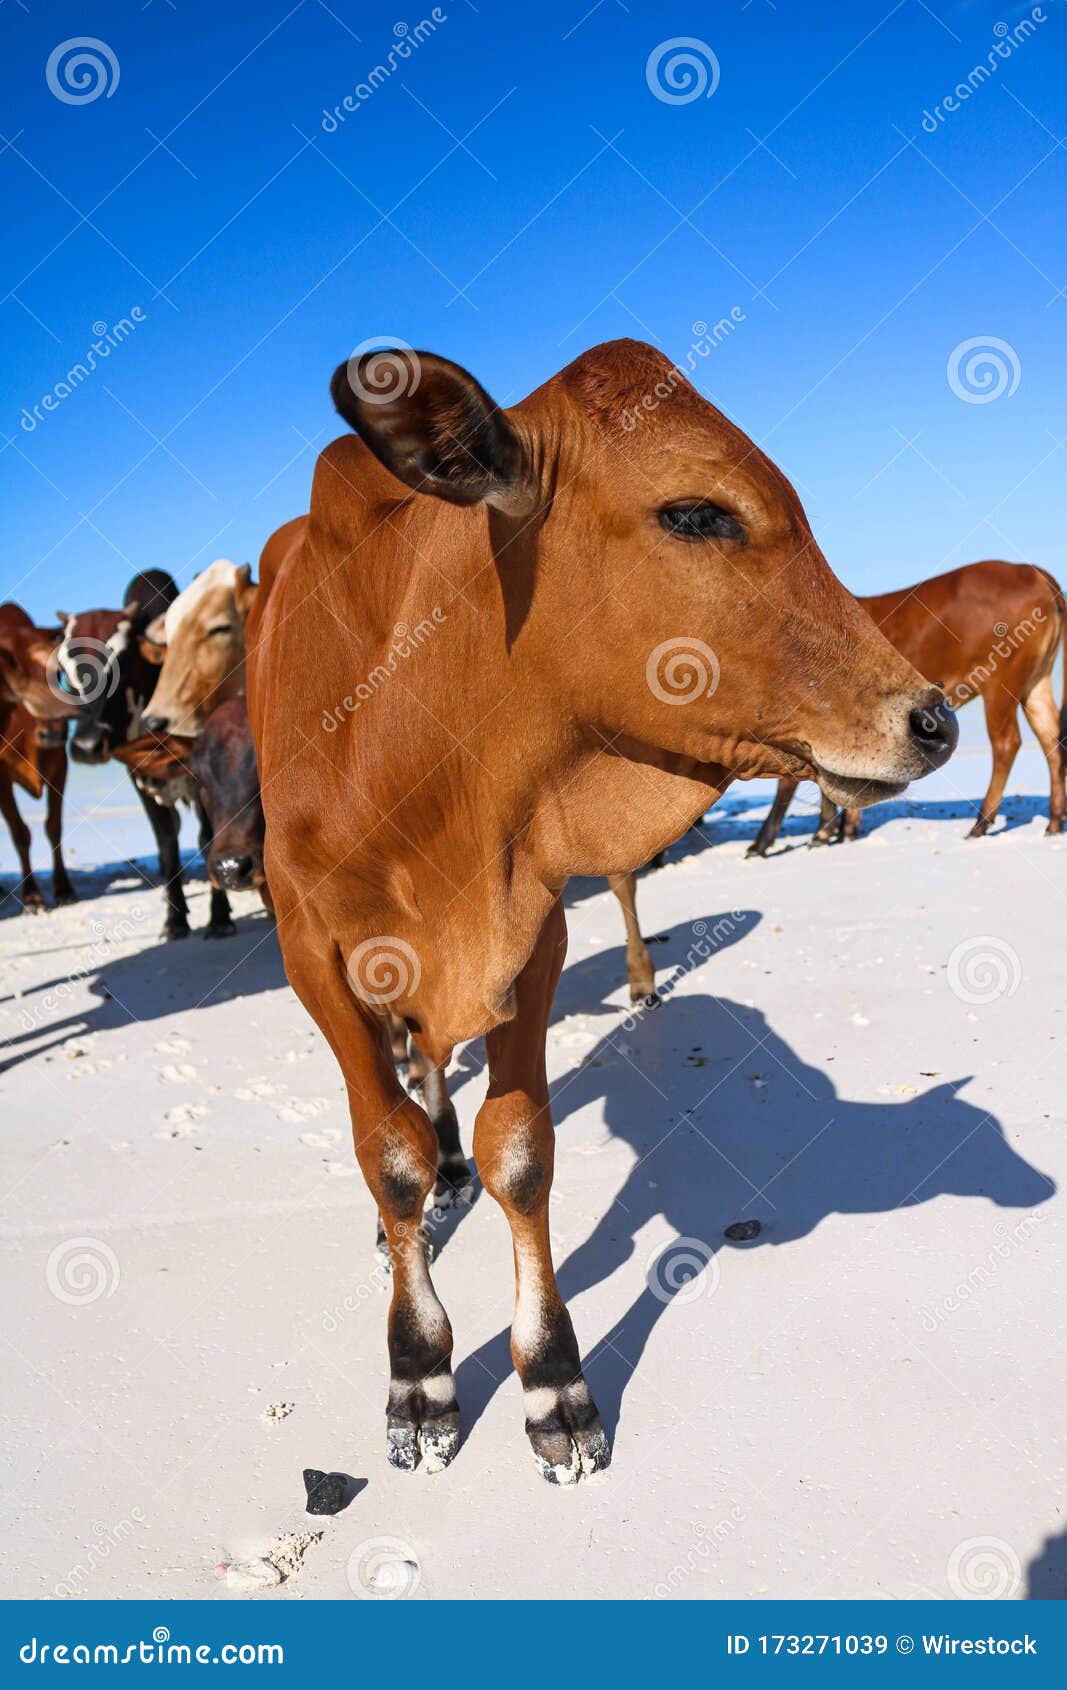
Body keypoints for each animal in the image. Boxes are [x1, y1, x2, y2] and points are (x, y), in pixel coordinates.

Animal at [61, 570, 235, 939]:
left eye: (122, 659)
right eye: (65, 671)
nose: (86, 746)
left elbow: (209, 840)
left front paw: (219, 917)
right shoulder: (140, 781)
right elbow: (166, 845)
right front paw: (175, 920)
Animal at [246, 338, 957, 1484]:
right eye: (696, 513)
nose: (932, 719)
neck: (417, 745)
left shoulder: (532, 929)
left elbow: (519, 1151)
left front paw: (551, 1380)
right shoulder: (312, 950)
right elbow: (386, 1155)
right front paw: (418, 1369)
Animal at [747, 560, 1066, 856]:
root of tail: (1030, 570)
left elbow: (790, 782)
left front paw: (768, 842)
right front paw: (841, 830)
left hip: (999, 684)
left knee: (1006, 743)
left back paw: (981, 823)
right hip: (1036, 683)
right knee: (1051, 739)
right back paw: (1054, 822)